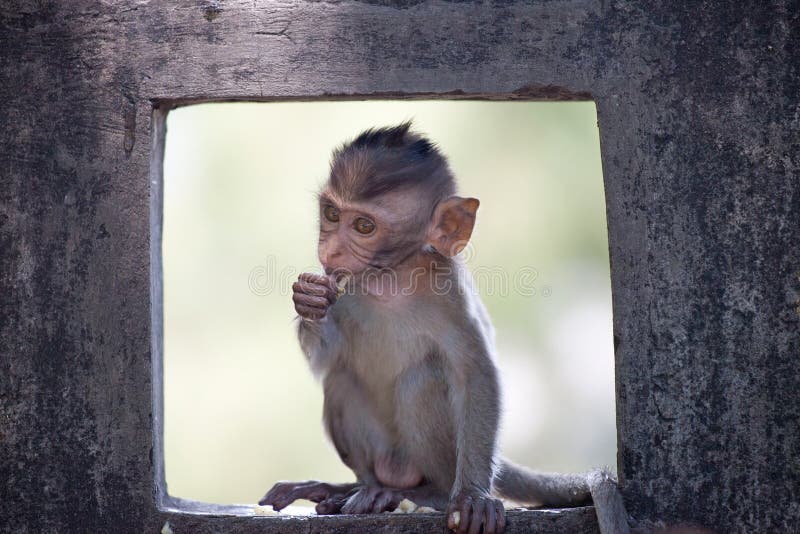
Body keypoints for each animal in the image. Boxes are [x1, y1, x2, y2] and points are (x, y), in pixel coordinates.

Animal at [259, 122, 629, 534]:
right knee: (341, 379)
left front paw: (473, 497)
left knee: (419, 382)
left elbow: (476, 375)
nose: (330, 252)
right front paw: (310, 300)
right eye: (331, 213)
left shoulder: (450, 293)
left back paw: (423, 493)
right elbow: (327, 359)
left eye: (363, 226)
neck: (389, 279)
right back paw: (350, 490)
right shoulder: (344, 287)